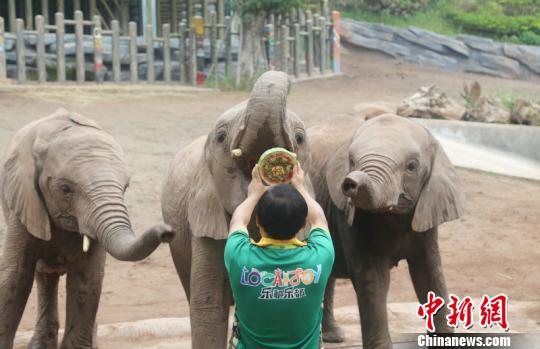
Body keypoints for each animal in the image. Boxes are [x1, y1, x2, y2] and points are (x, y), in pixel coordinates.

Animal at [0, 109, 173, 348]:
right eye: (65, 189)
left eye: (125, 187)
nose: (168, 232)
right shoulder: (24, 200)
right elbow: (15, 276)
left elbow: (86, 278)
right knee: (43, 274)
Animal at [308, 113, 464, 346]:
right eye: (351, 160)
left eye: (411, 166)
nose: (351, 182)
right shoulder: (348, 217)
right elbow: (374, 278)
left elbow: (429, 273)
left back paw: (334, 336)